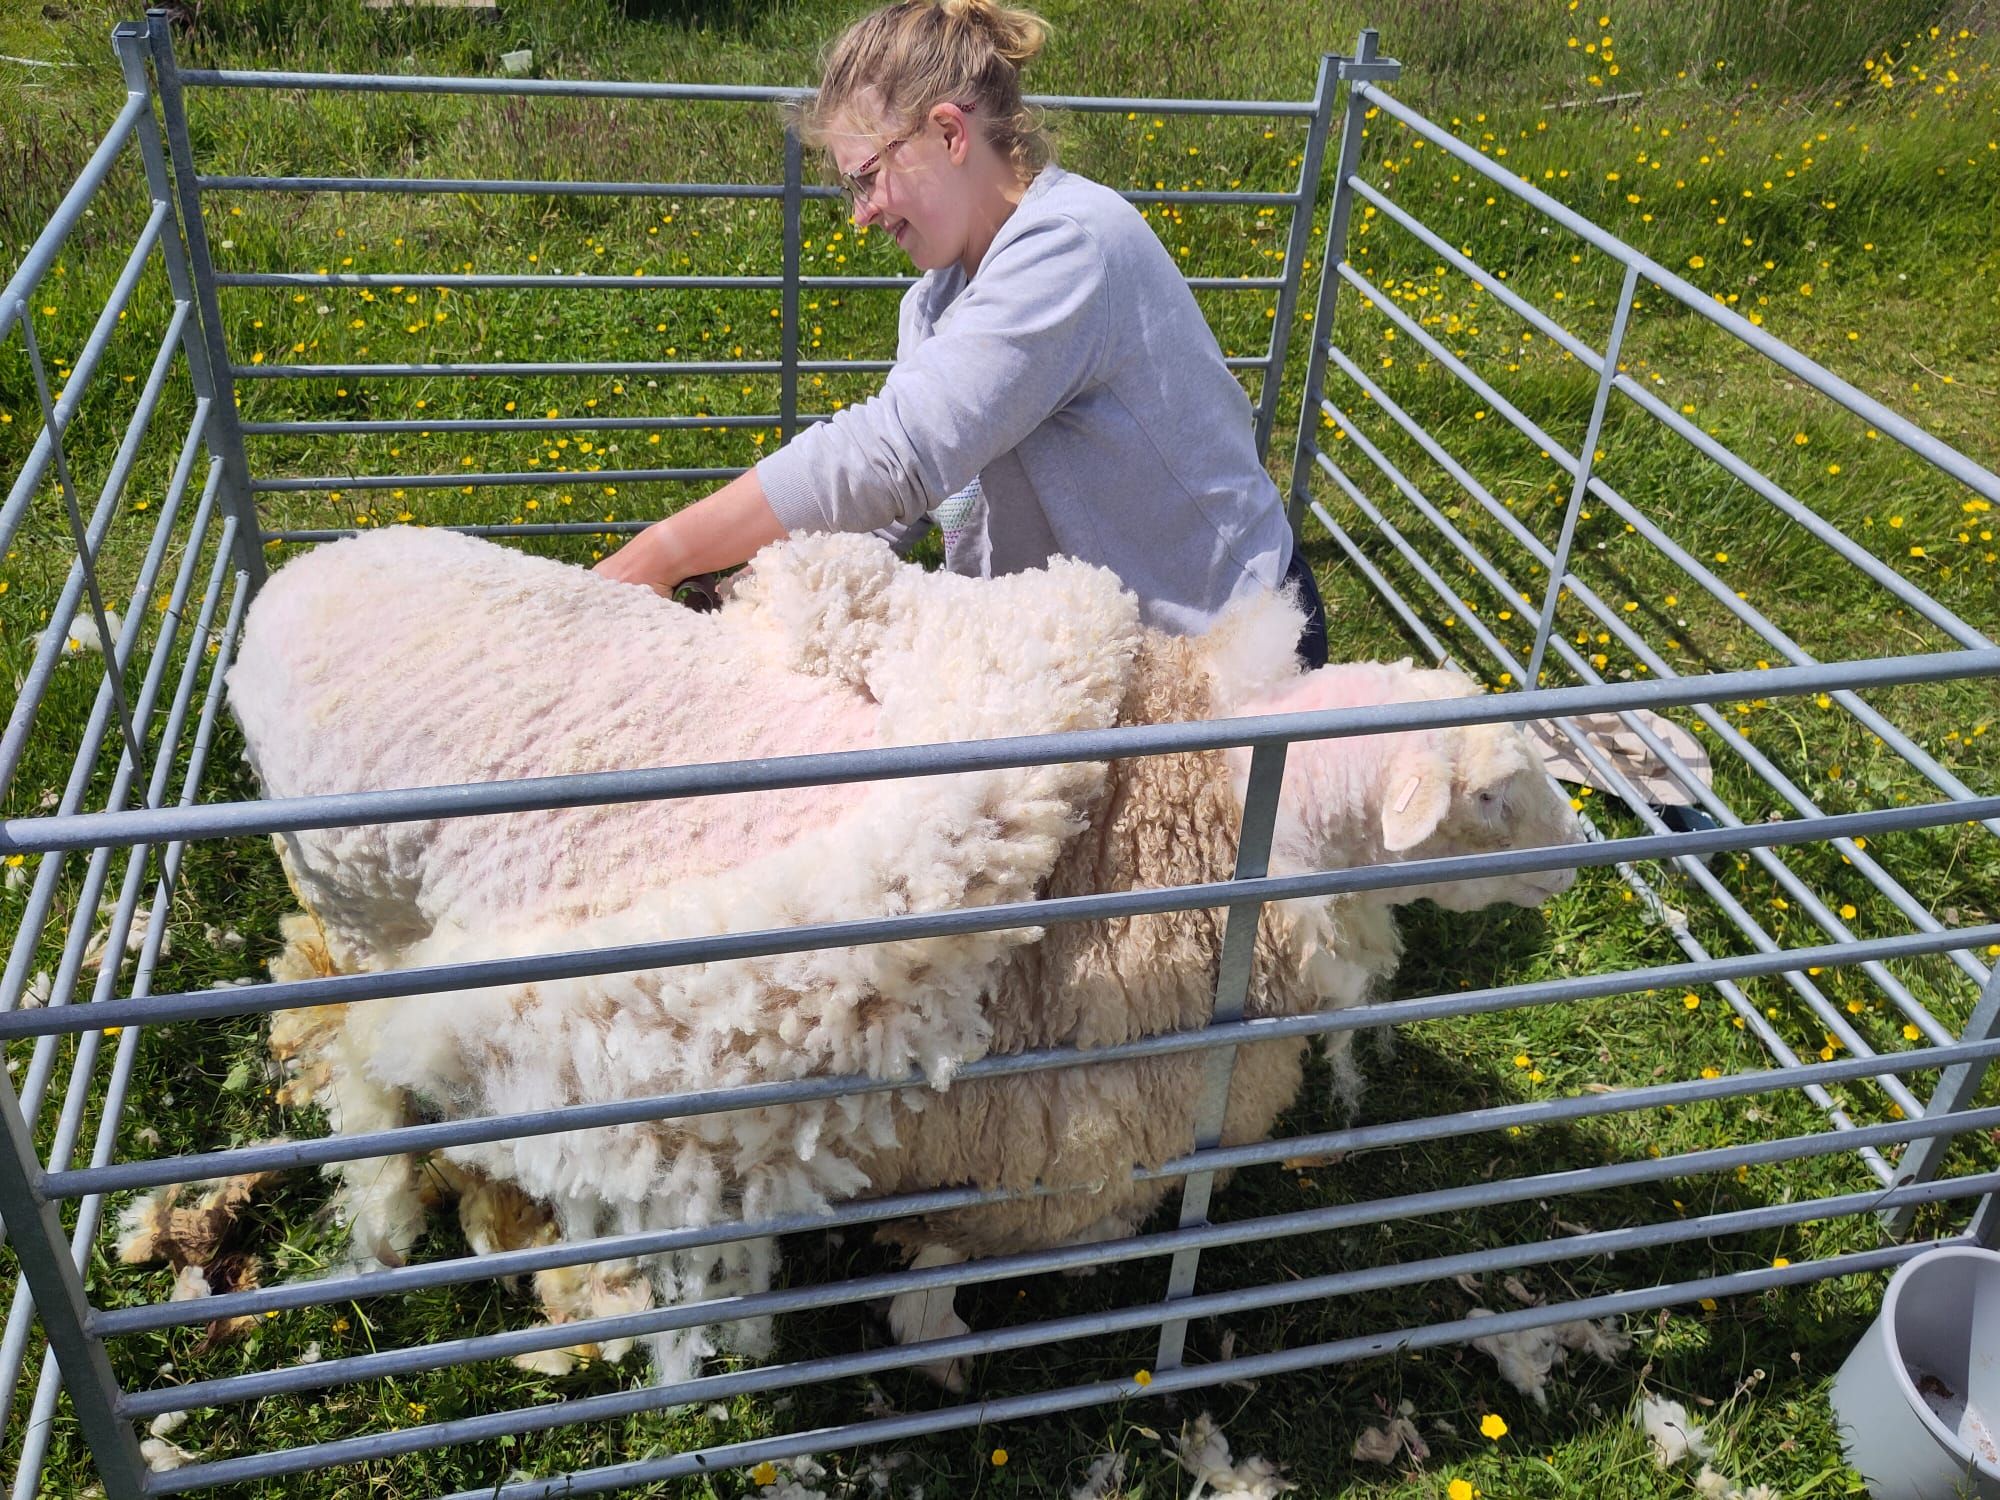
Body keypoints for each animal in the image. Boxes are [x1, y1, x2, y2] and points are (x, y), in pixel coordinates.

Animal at [223, 527, 1581, 1387]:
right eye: (1492, 797)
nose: (1575, 862)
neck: (1210, 832)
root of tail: (300, 578)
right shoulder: (1027, 1182)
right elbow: (935, 1277)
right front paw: (926, 1327)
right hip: (363, 906)